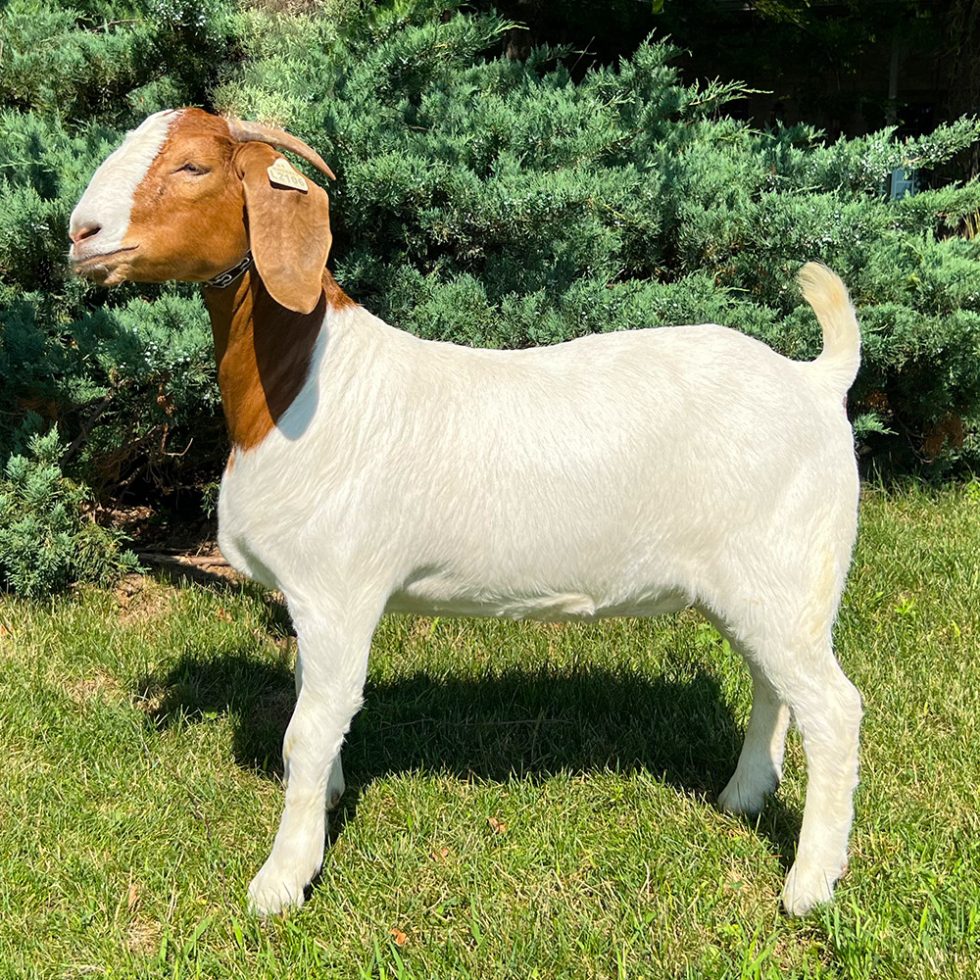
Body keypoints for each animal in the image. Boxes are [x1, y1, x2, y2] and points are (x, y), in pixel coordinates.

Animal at [69, 108, 863, 918]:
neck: (308, 384)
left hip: (785, 570)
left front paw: (281, 881)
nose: (81, 233)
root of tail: (816, 382)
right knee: (774, 685)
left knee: (834, 710)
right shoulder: (312, 598)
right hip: (767, 587)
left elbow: (307, 729)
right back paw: (744, 795)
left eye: (194, 167)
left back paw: (810, 884)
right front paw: (328, 799)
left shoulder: (336, 589)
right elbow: (313, 702)